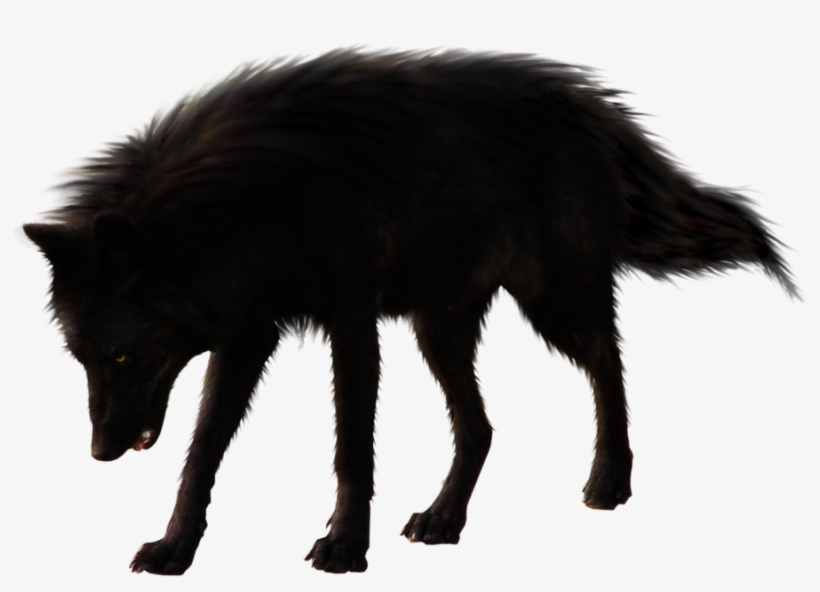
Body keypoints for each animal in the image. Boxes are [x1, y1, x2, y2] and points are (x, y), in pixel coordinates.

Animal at [23, 49, 798, 575]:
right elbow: (203, 451)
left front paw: (343, 546)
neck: (247, 208)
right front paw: (175, 548)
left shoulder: (348, 321)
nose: (99, 453)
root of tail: (588, 105)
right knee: (482, 427)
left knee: (609, 368)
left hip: (553, 300)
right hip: (440, 329)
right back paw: (445, 520)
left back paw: (610, 481)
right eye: (84, 360)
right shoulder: (246, 338)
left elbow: (351, 449)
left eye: (124, 355)